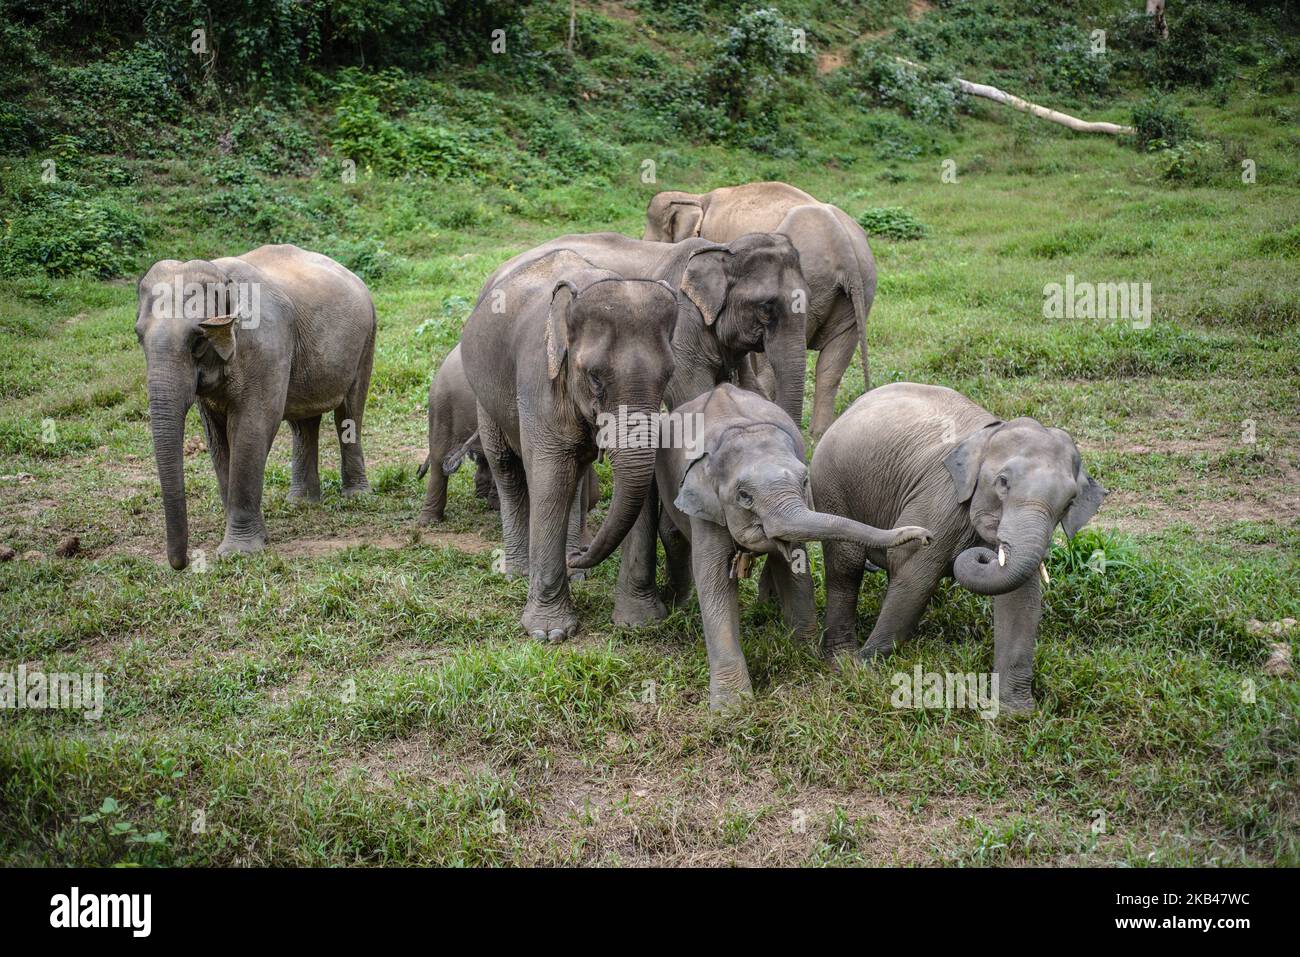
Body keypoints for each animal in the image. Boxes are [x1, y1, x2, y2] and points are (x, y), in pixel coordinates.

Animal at [135, 244, 376, 569]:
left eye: (198, 340)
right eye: (139, 336)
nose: (182, 563)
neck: (220, 276)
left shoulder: (266, 345)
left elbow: (252, 426)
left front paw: (238, 552)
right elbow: (216, 437)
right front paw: (251, 539)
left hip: (366, 339)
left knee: (349, 411)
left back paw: (355, 497)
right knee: (303, 423)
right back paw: (300, 503)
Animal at [460, 249, 679, 640]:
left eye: (668, 375)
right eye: (595, 377)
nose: (581, 555)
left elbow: (642, 483)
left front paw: (640, 622)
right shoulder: (539, 382)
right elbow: (550, 478)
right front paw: (549, 634)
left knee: (575, 477)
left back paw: (573, 571)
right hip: (485, 394)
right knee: (506, 465)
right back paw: (519, 572)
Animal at [660, 384, 932, 709]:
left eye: (804, 481)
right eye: (743, 496)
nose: (925, 535)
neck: (740, 430)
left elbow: (796, 567)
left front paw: (804, 656)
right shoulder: (705, 512)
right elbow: (714, 583)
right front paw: (731, 708)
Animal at [810, 383, 1106, 712]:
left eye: (1069, 502)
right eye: (1003, 482)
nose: (987, 552)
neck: (990, 434)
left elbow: (1021, 600)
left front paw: (1015, 712)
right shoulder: (941, 500)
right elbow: (913, 577)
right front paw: (865, 669)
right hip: (831, 482)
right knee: (845, 565)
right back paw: (841, 660)